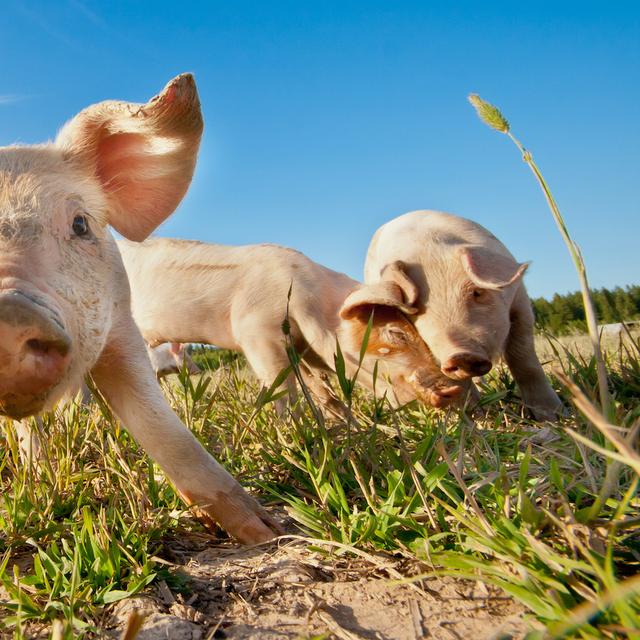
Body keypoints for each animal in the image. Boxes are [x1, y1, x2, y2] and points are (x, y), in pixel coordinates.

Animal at [117, 238, 470, 414]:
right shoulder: (256, 332)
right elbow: (283, 390)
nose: (453, 389)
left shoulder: (300, 348)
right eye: (395, 333)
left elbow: (323, 391)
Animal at [364, 210, 562, 421]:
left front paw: (553, 417)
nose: (460, 354)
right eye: (416, 311)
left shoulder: (520, 300)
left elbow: (524, 358)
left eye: (477, 292)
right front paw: (476, 417)